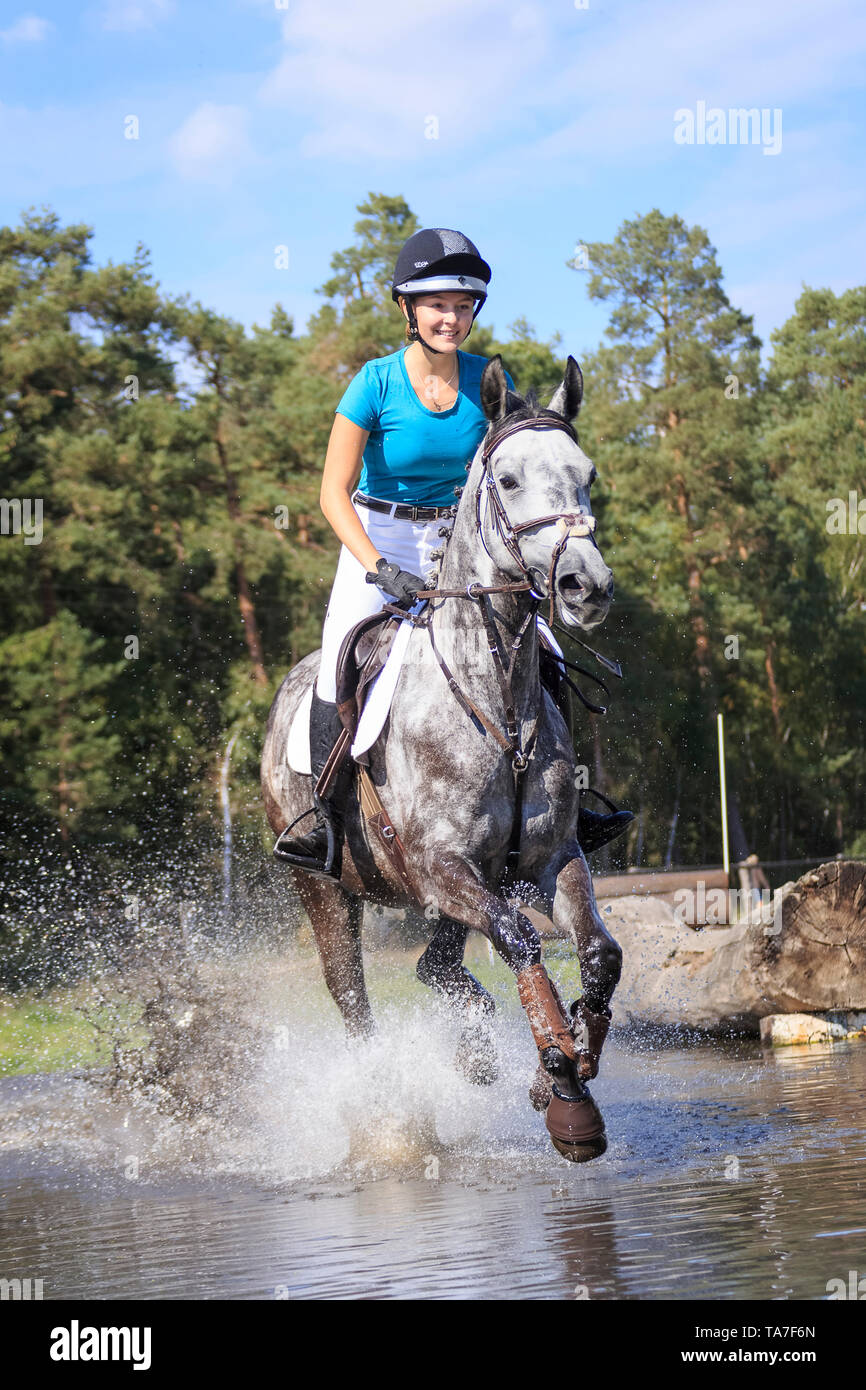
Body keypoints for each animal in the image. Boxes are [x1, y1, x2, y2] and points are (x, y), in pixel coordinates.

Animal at [261, 355, 623, 1162]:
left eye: (587, 474)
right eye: (509, 480)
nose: (585, 587)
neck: (498, 696)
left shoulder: (549, 859)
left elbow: (598, 954)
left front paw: (562, 1068)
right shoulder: (441, 867)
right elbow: (522, 940)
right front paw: (564, 1090)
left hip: (465, 887)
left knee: (438, 965)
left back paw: (478, 1053)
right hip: (327, 890)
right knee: (353, 1000)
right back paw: (385, 1116)